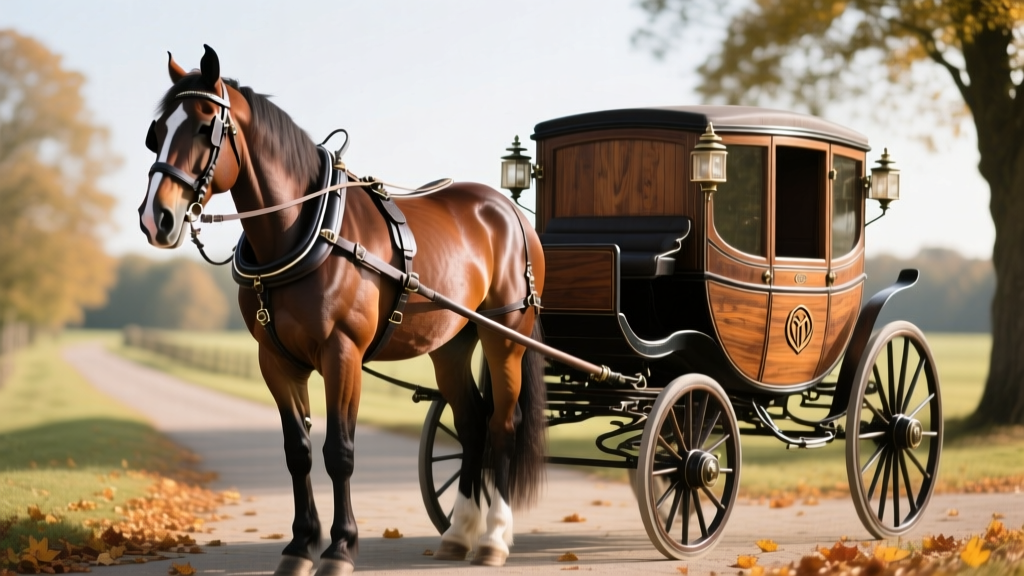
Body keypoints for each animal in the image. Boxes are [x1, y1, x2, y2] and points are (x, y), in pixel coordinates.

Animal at [139, 45, 546, 575]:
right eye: (157, 131)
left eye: (206, 123)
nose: (156, 218)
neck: (306, 230)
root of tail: (510, 208)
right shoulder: (276, 360)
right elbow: (298, 451)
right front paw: (299, 546)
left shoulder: (342, 353)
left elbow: (340, 452)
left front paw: (340, 547)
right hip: (452, 344)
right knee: (473, 424)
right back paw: (459, 533)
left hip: (506, 337)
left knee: (502, 425)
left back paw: (494, 536)